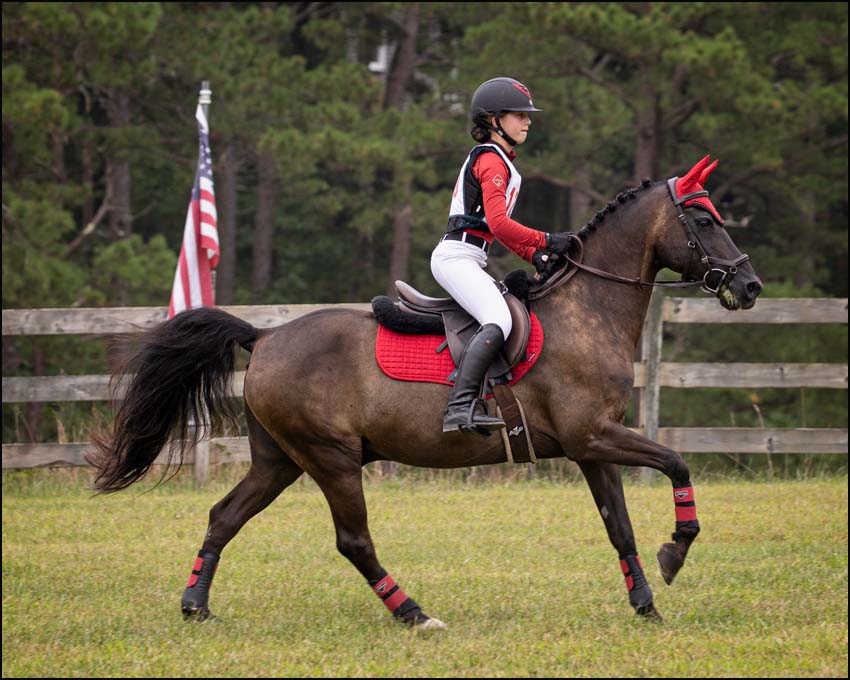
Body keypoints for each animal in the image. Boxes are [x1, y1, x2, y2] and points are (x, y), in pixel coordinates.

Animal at [89, 156, 763, 629]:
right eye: (705, 220)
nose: (751, 286)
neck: (587, 309)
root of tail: (266, 335)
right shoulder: (594, 435)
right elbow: (675, 462)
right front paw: (676, 550)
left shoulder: (593, 447)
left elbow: (619, 527)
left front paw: (647, 603)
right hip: (331, 459)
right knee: (354, 541)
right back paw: (414, 613)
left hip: (279, 459)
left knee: (224, 516)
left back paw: (195, 605)